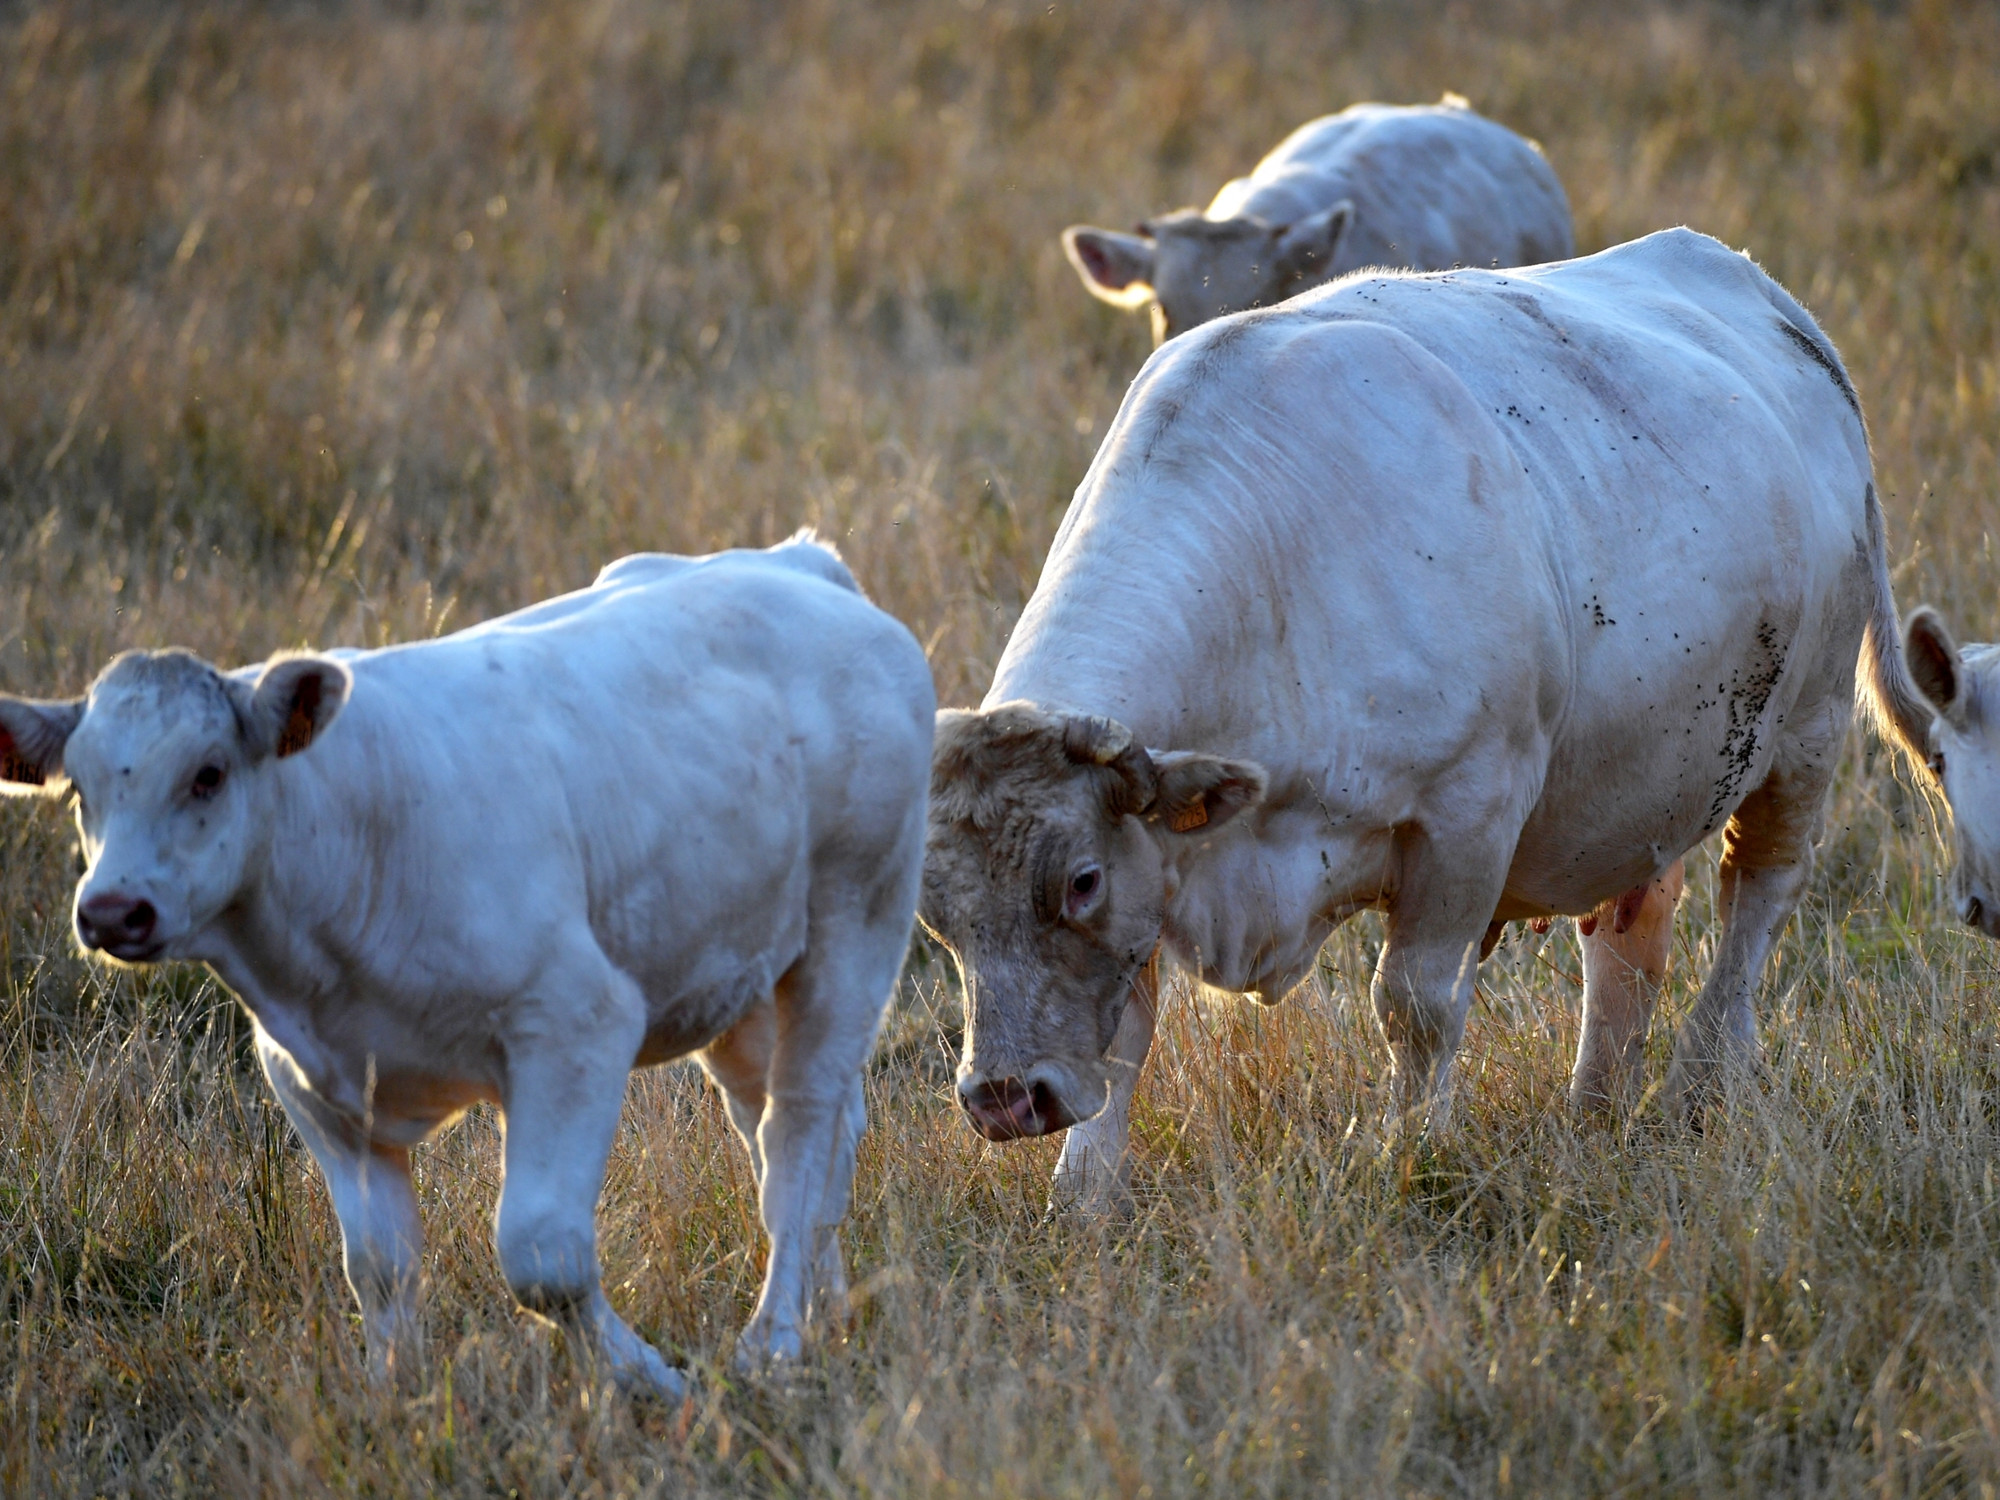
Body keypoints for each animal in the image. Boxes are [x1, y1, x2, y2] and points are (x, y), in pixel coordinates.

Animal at [0, 535, 935, 1395]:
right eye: (81, 790)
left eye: (208, 773)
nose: (112, 909)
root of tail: (799, 561)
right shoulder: (313, 1086)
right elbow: (379, 1267)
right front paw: (392, 1398)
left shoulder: (575, 1023)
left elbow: (541, 1254)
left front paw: (651, 1380)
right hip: (738, 970)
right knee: (789, 1128)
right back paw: (827, 1311)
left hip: (857, 917)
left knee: (799, 1130)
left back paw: (772, 1340)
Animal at [923, 227, 1920, 1215]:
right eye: (933, 914)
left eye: (1079, 880)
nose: (1003, 1099)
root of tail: (1763, 292)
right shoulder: (1160, 865)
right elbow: (1126, 1034)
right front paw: (1083, 1195)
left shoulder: (1467, 817)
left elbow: (1416, 1007)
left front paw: (1405, 1150)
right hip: (1646, 772)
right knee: (1631, 935)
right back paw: (1596, 1106)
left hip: (1806, 733)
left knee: (1757, 899)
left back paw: (1701, 1080)